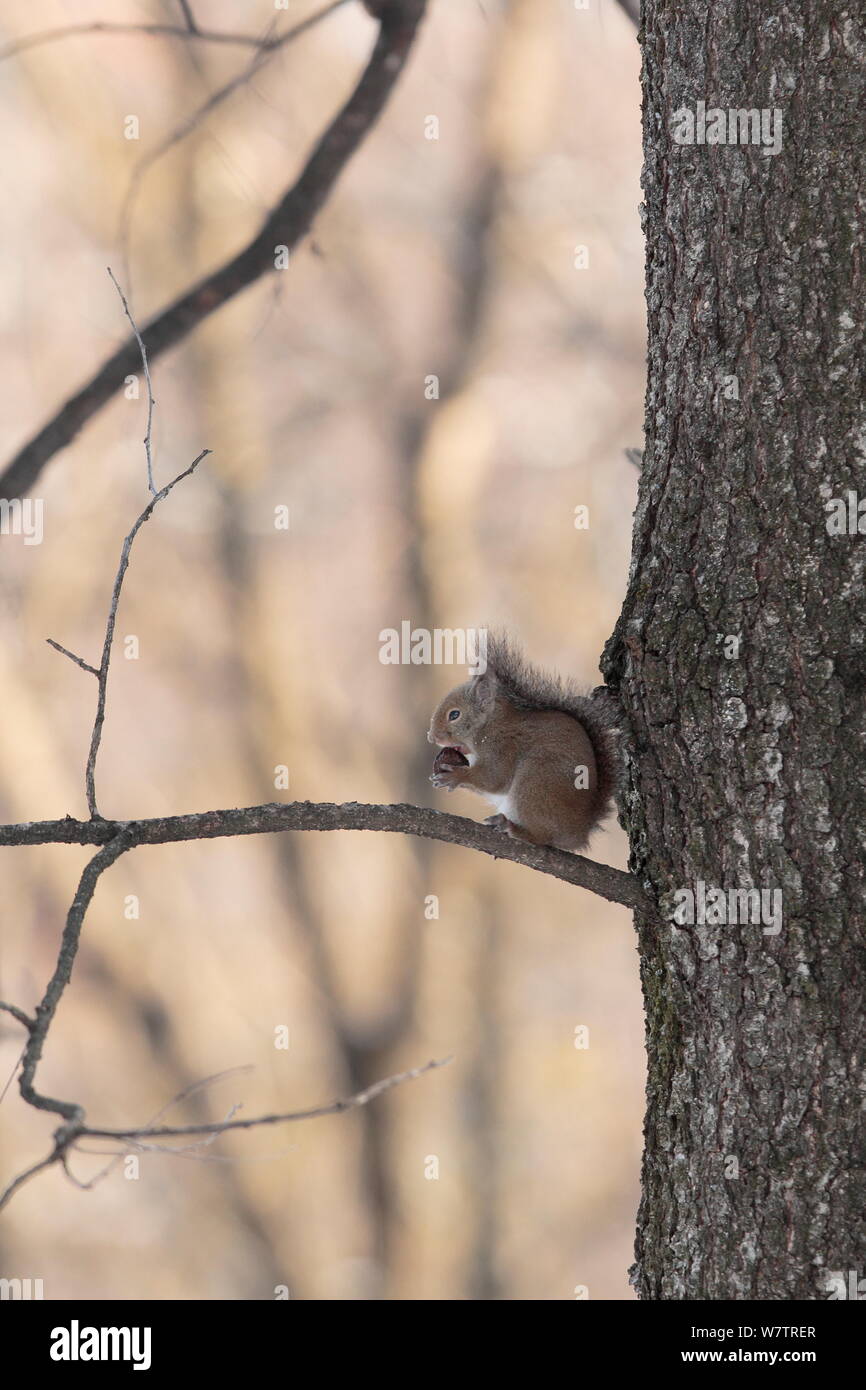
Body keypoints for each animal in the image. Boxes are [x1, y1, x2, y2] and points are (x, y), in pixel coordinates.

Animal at [427, 633, 617, 853]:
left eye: (454, 715)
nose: (432, 737)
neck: (488, 724)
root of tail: (579, 833)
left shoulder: (502, 745)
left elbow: (494, 778)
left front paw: (456, 776)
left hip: (536, 784)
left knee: (540, 837)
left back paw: (512, 827)